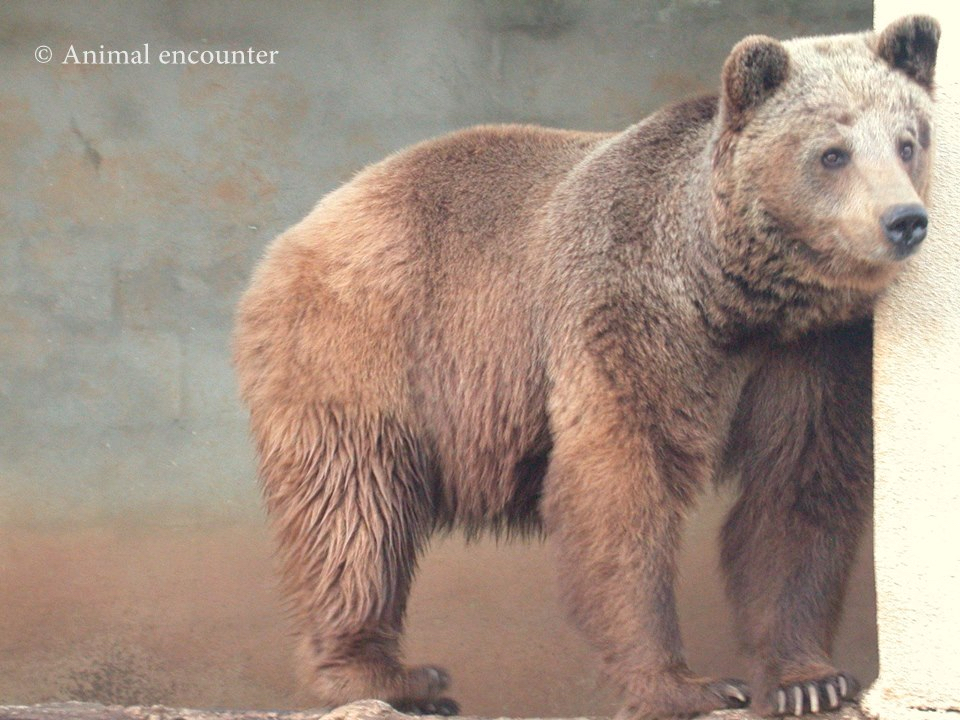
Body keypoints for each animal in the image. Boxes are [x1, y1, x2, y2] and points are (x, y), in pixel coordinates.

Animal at [233, 15, 939, 719]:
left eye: (908, 142)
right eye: (833, 153)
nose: (904, 220)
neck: (733, 293)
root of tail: (297, 232)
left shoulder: (814, 351)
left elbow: (797, 489)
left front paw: (810, 680)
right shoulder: (630, 308)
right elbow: (624, 480)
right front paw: (686, 684)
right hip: (365, 344)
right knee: (353, 507)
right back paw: (388, 676)